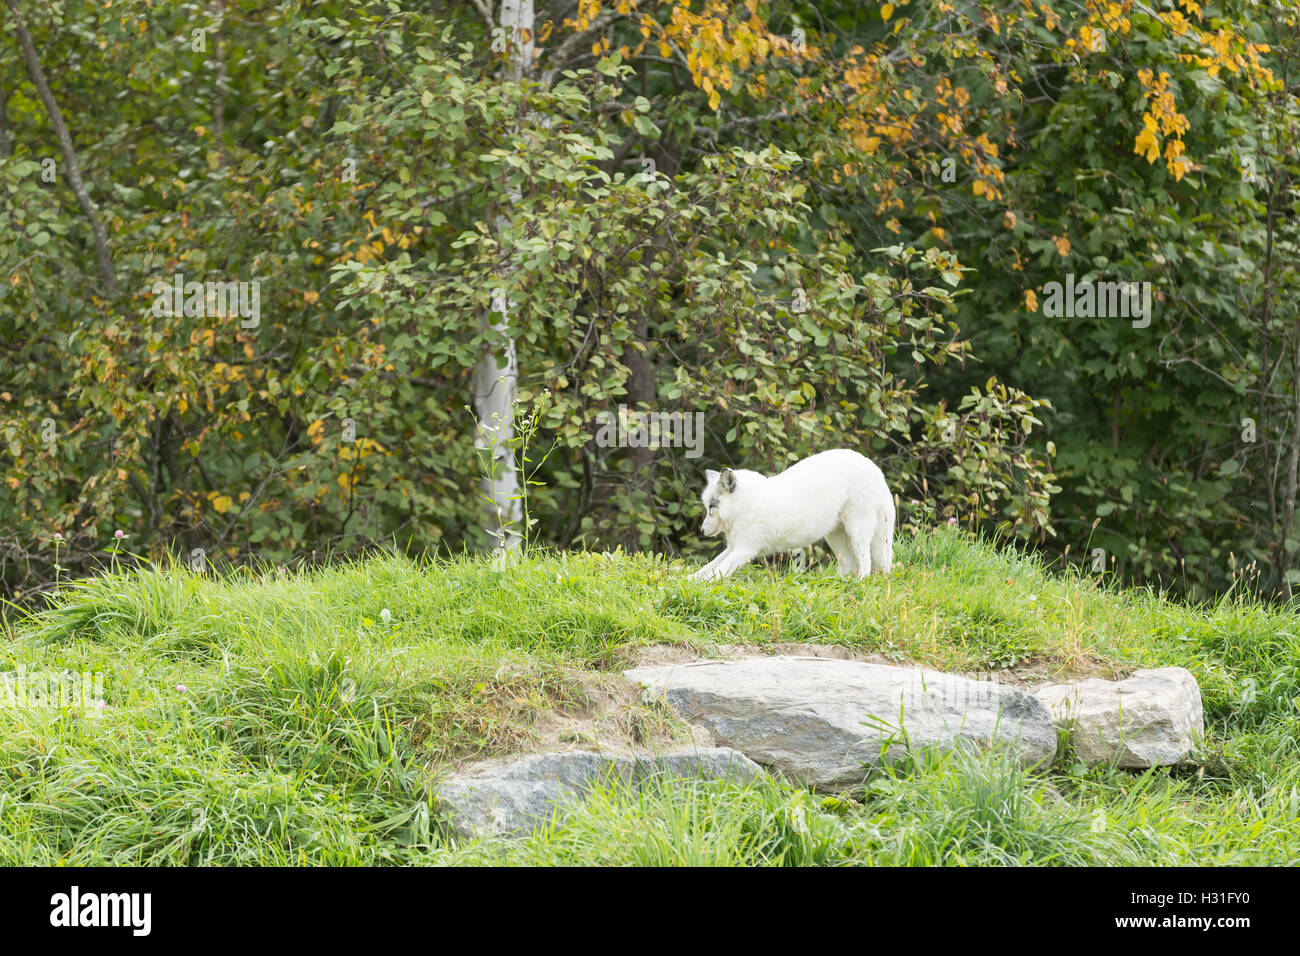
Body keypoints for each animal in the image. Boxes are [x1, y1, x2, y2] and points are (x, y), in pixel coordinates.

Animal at [690, 449, 895, 581]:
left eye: (712, 507)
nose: (701, 531)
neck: (745, 505)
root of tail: (876, 471)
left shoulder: (744, 550)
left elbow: (715, 574)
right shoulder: (733, 547)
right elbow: (707, 569)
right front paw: (688, 579)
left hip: (857, 532)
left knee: (866, 564)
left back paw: (859, 583)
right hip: (836, 537)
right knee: (849, 565)